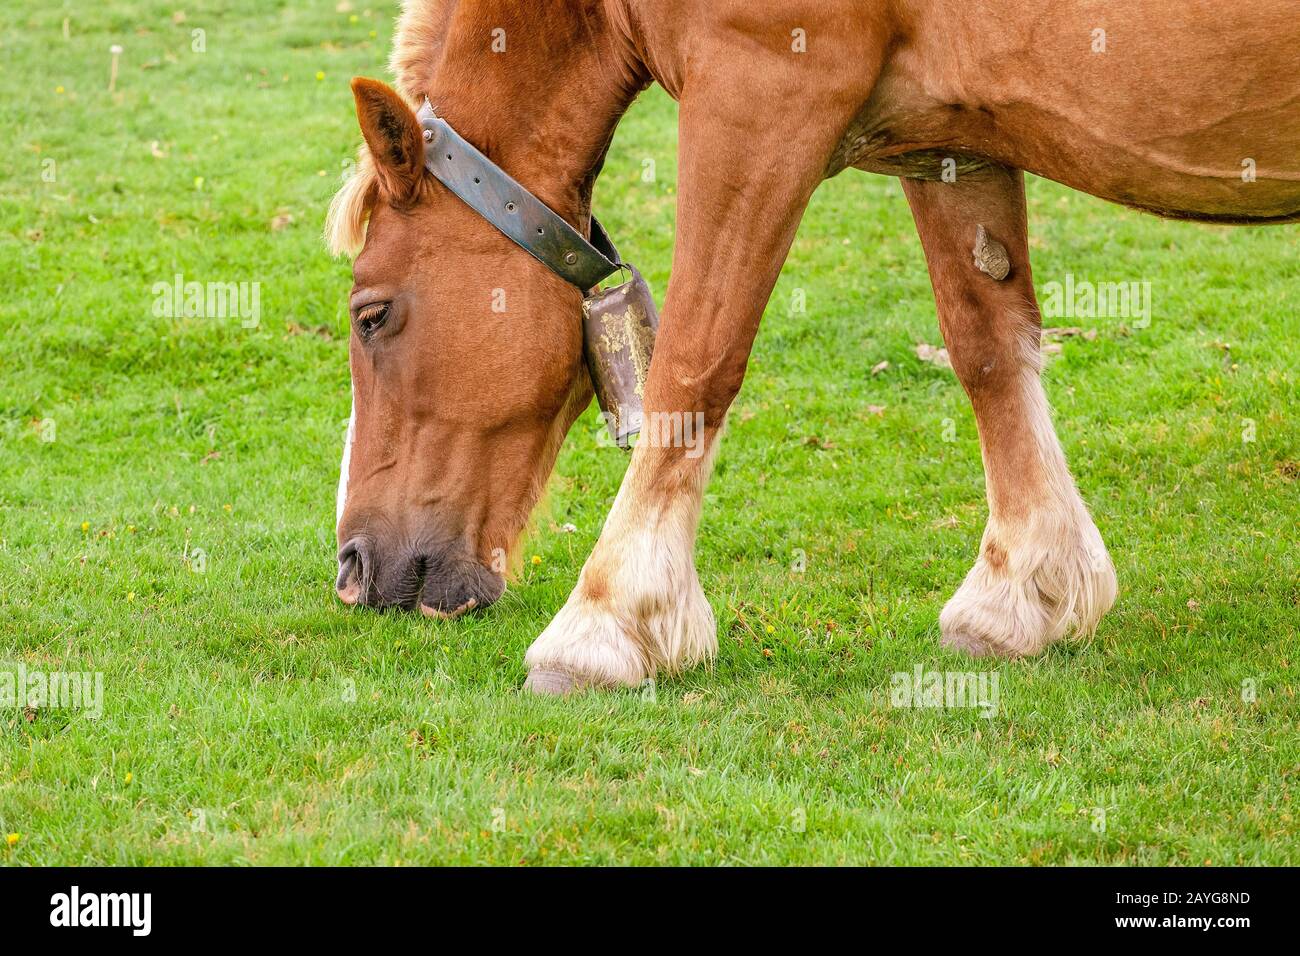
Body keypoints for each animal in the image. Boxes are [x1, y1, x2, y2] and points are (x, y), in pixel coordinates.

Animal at [325, 0, 1300, 694]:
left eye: (372, 315)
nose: (353, 570)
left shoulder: (759, 94)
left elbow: (697, 357)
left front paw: (606, 622)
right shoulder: (950, 143)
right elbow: (987, 348)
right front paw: (1022, 588)